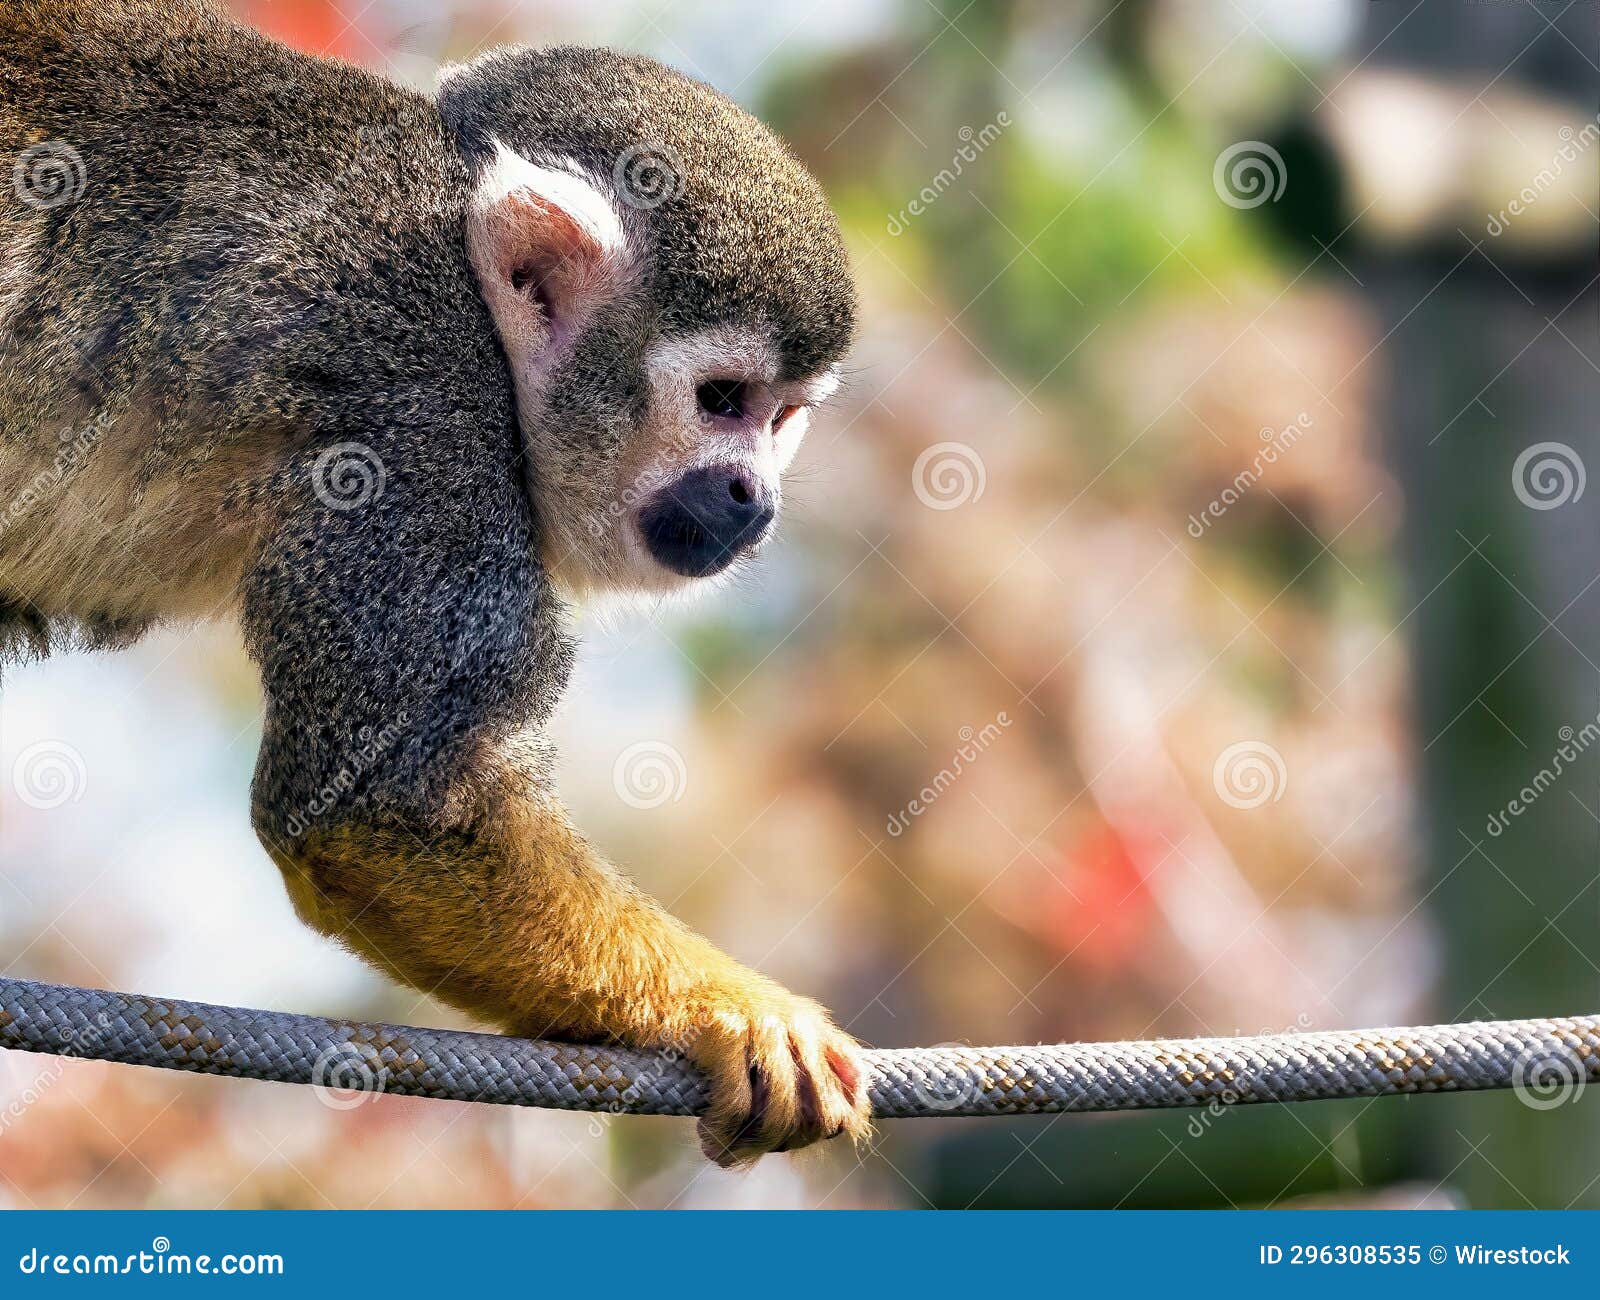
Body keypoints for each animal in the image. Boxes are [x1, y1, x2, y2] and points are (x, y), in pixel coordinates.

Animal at [0, 0, 869, 1165]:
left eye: (782, 420)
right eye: (722, 399)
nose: (751, 495)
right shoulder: (418, 412)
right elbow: (386, 808)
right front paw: (727, 1011)